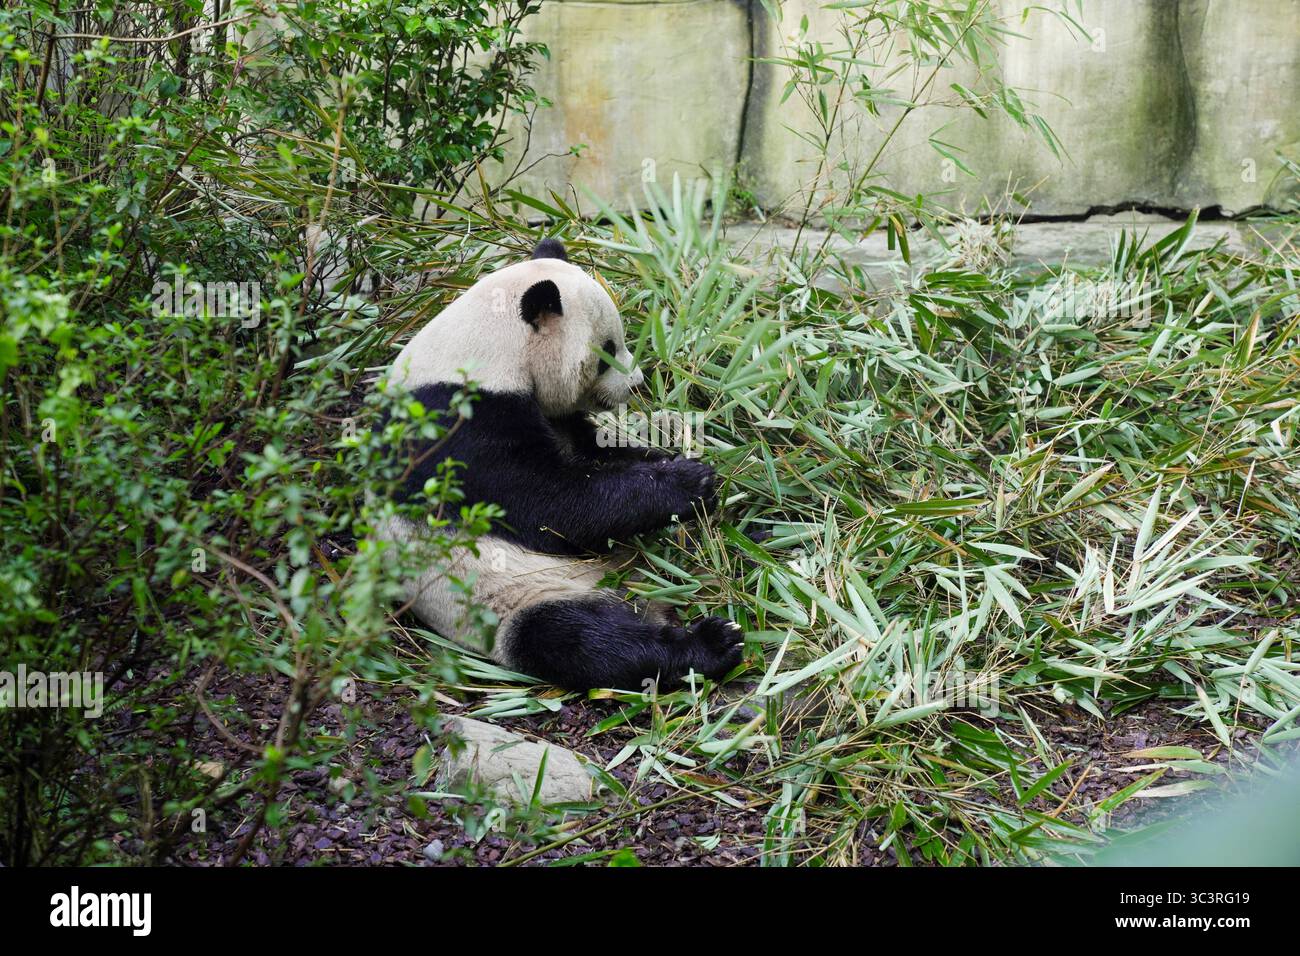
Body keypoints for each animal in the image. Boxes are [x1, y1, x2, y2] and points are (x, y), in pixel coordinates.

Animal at [375, 238, 744, 691]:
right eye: (606, 353)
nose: (636, 383)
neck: (480, 356)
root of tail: (643, 596)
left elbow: (592, 455)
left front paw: (675, 463)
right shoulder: (454, 433)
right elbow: (551, 506)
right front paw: (690, 483)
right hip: (520, 598)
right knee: (582, 639)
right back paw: (710, 643)